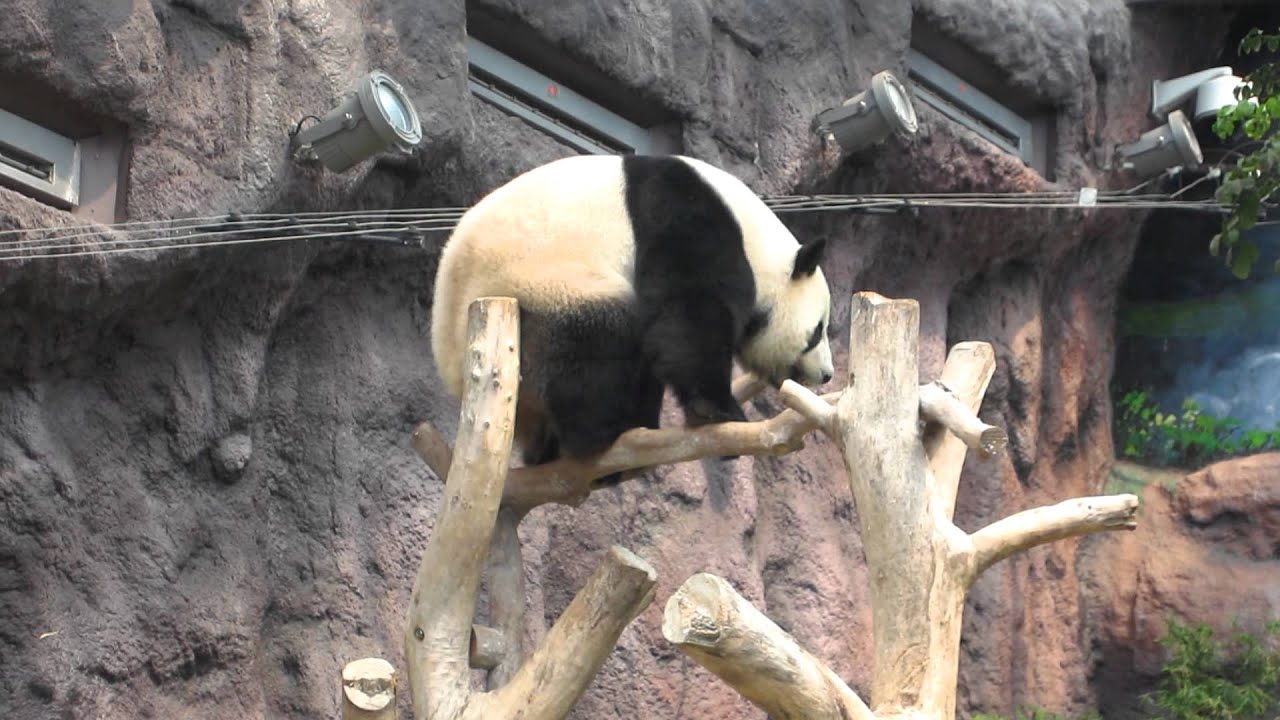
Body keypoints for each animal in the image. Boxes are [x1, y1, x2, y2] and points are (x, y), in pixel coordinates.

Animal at [430, 154, 834, 470]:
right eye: (817, 331)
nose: (828, 374)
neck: (753, 236)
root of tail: (457, 370)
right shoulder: (686, 216)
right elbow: (689, 313)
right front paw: (717, 411)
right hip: (540, 289)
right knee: (597, 340)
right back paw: (604, 434)